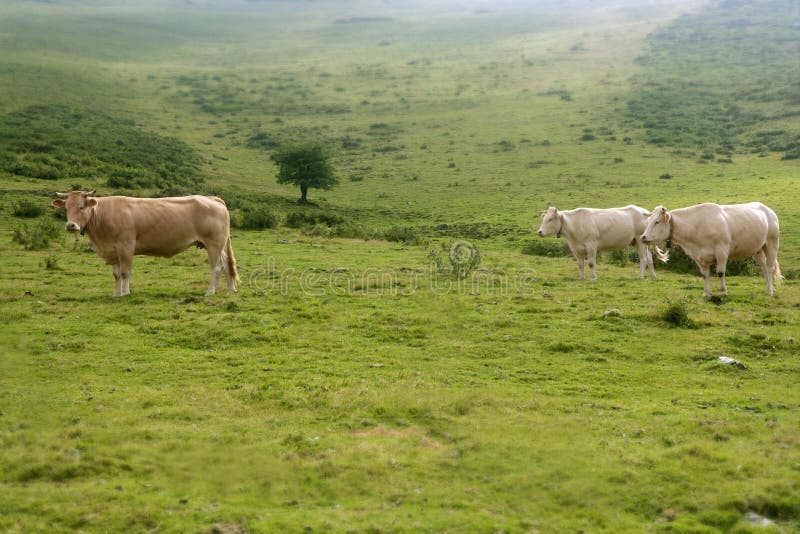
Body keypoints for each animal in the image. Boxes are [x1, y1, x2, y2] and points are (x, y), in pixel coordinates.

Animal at [52, 190, 240, 297]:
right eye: (66, 208)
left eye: (81, 207)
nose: (70, 225)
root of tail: (212, 198)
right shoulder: (112, 251)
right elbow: (116, 274)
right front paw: (116, 294)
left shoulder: (126, 247)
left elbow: (125, 273)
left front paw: (125, 293)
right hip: (216, 245)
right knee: (226, 265)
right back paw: (230, 290)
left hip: (214, 243)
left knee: (217, 268)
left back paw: (210, 292)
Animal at [640, 202, 781, 297]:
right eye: (649, 221)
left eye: (657, 222)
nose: (643, 237)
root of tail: (768, 210)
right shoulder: (698, 256)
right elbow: (705, 275)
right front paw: (706, 293)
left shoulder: (722, 250)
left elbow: (720, 272)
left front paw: (723, 291)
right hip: (758, 249)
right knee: (764, 267)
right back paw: (768, 288)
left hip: (772, 243)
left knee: (769, 267)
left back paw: (770, 290)